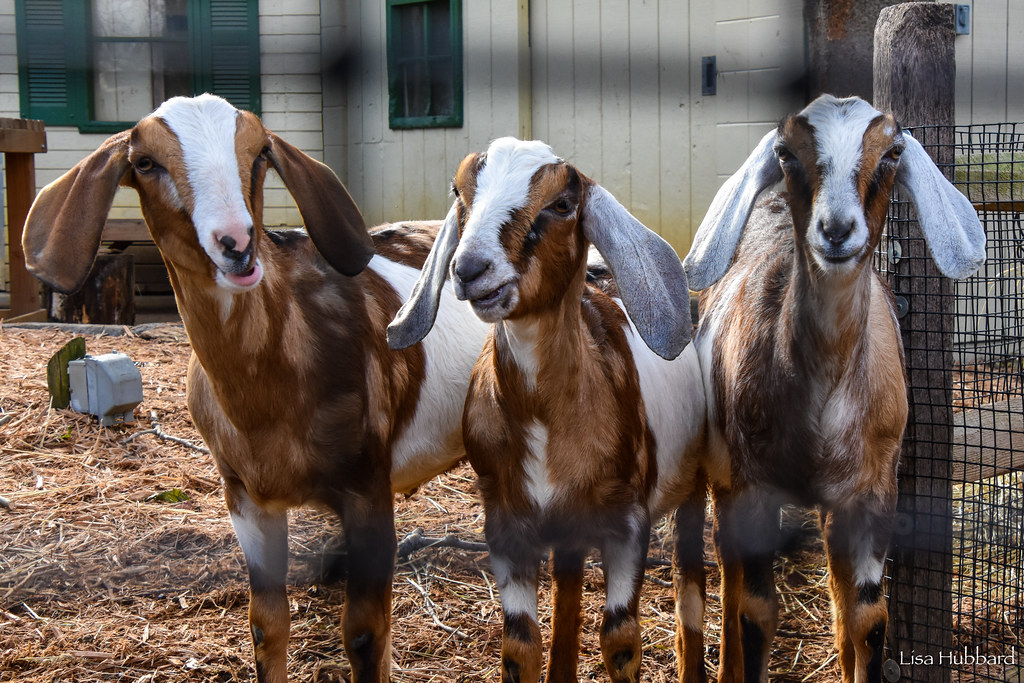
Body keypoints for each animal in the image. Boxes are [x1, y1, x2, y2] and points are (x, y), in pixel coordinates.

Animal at [22, 94, 489, 683]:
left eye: (261, 152)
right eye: (145, 162)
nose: (237, 244)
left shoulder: (368, 485)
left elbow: (364, 635)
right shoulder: (243, 495)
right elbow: (266, 624)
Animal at [388, 137, 707, 683]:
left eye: (562, 204)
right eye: (459, 190)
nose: (469, 269)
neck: (544, 414)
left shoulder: (628, 522)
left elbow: (621, 640)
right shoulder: (507, 525)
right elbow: (520, 647)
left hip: (696, 479)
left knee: (692, 589)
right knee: (569, 591)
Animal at [680, 94, 986, 682]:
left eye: (892, 152)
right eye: (784, 151)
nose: (837, 229)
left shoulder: (872, 488)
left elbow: (868, 618)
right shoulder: (753, 483)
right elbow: (756, 612)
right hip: (713, 464)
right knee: (714, 567)